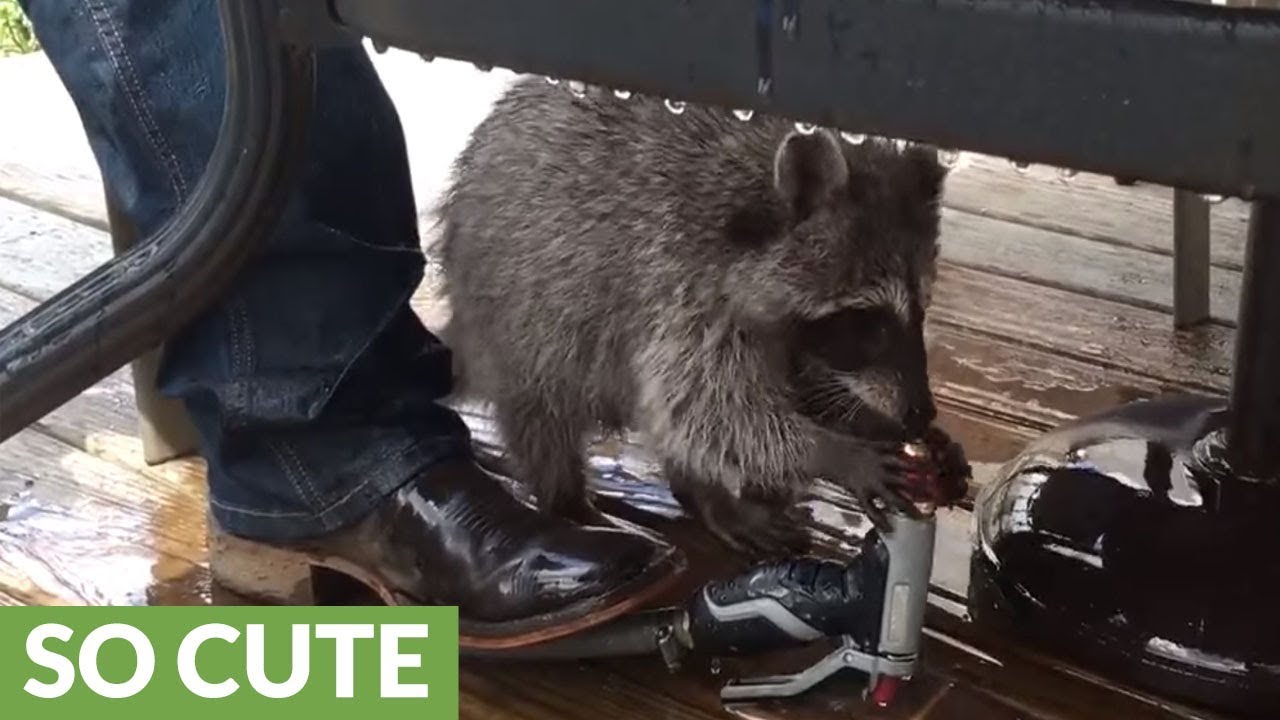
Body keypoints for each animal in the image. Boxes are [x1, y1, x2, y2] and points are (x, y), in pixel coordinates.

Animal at [435, 77, 948, 556]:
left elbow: (796, 381)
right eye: (869, 321)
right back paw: (570, 497)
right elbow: (709, 410)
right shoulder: (679, 285)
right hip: (519, 316)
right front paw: (830, 451)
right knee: (546, 410)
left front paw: (866, 418)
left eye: (921, 309)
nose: (921, 412)